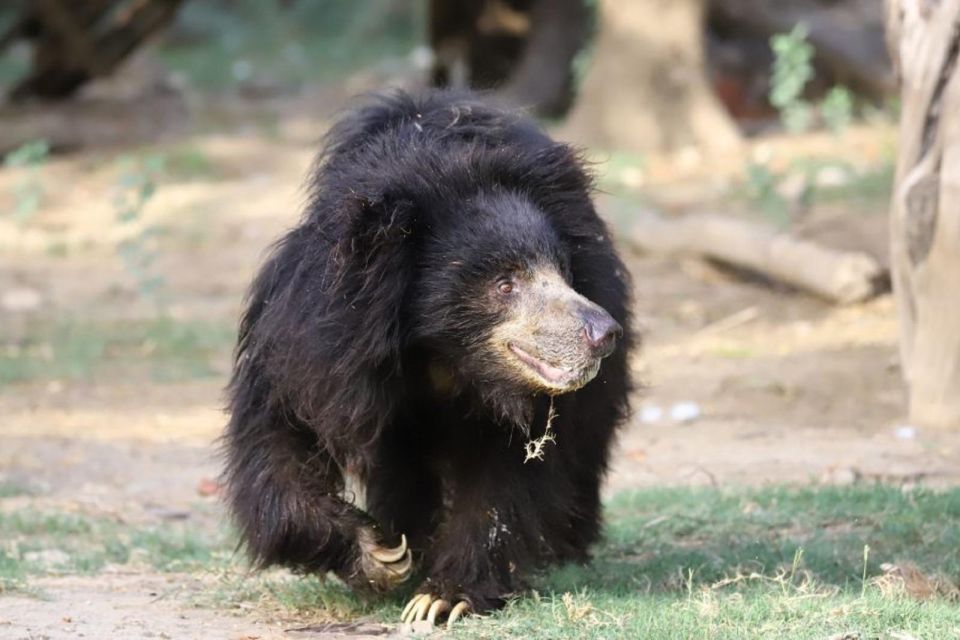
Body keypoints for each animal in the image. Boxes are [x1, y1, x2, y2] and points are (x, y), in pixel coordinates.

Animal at [222, 90, 633, 627]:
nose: (603, 333)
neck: (440, 351)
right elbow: (275, 442)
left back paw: (568, 546)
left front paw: (444, 597)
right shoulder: (311, 343)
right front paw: (379, 554)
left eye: (563, 270)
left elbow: (507, 482)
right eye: (505, 283)